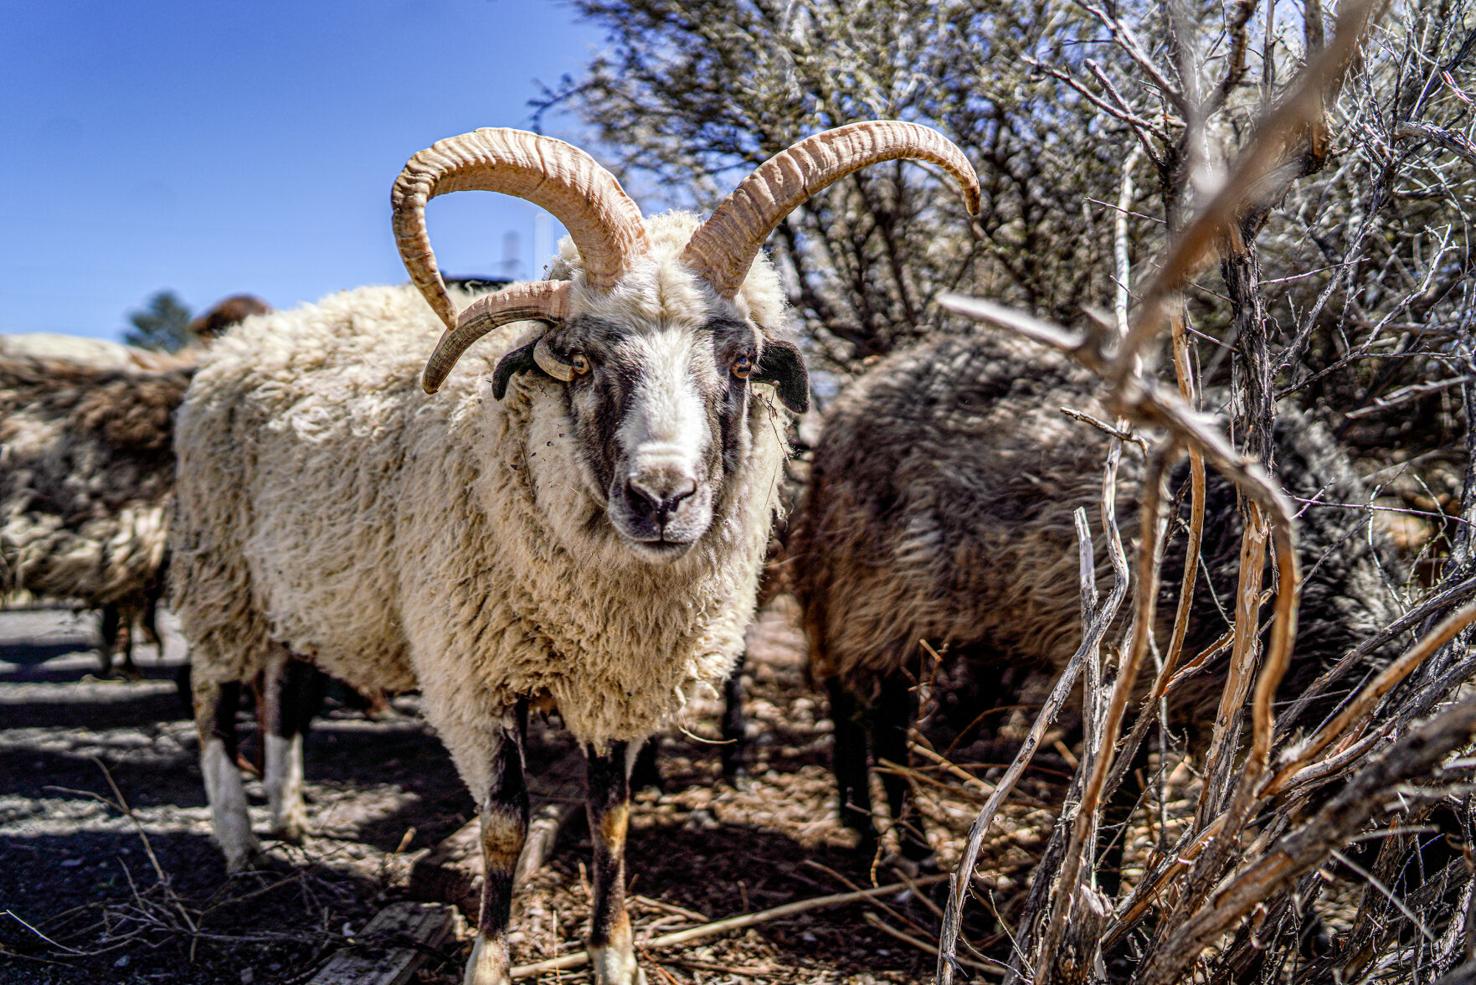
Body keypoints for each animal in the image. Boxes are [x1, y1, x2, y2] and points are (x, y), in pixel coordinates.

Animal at [169, 122, 981, 985]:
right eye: (583, 362)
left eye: (740, 363)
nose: (663, 496)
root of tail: (254, 335)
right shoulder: (472, 677)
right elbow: (504, 822)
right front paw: (489, 959)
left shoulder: (615, 683)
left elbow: (611, 816)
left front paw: (614, 951)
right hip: (218, 574)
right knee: (211, 698)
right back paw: (238, 839)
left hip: (294, 587)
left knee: (284, 689)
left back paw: (286, 814)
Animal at [788, 330, 1403, 871]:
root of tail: (853, 398)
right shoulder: (1140, 663)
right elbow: (1118, 795)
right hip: (878, 595)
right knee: (882, 724)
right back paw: (906, 842)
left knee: (848, 701)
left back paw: (859, 822)